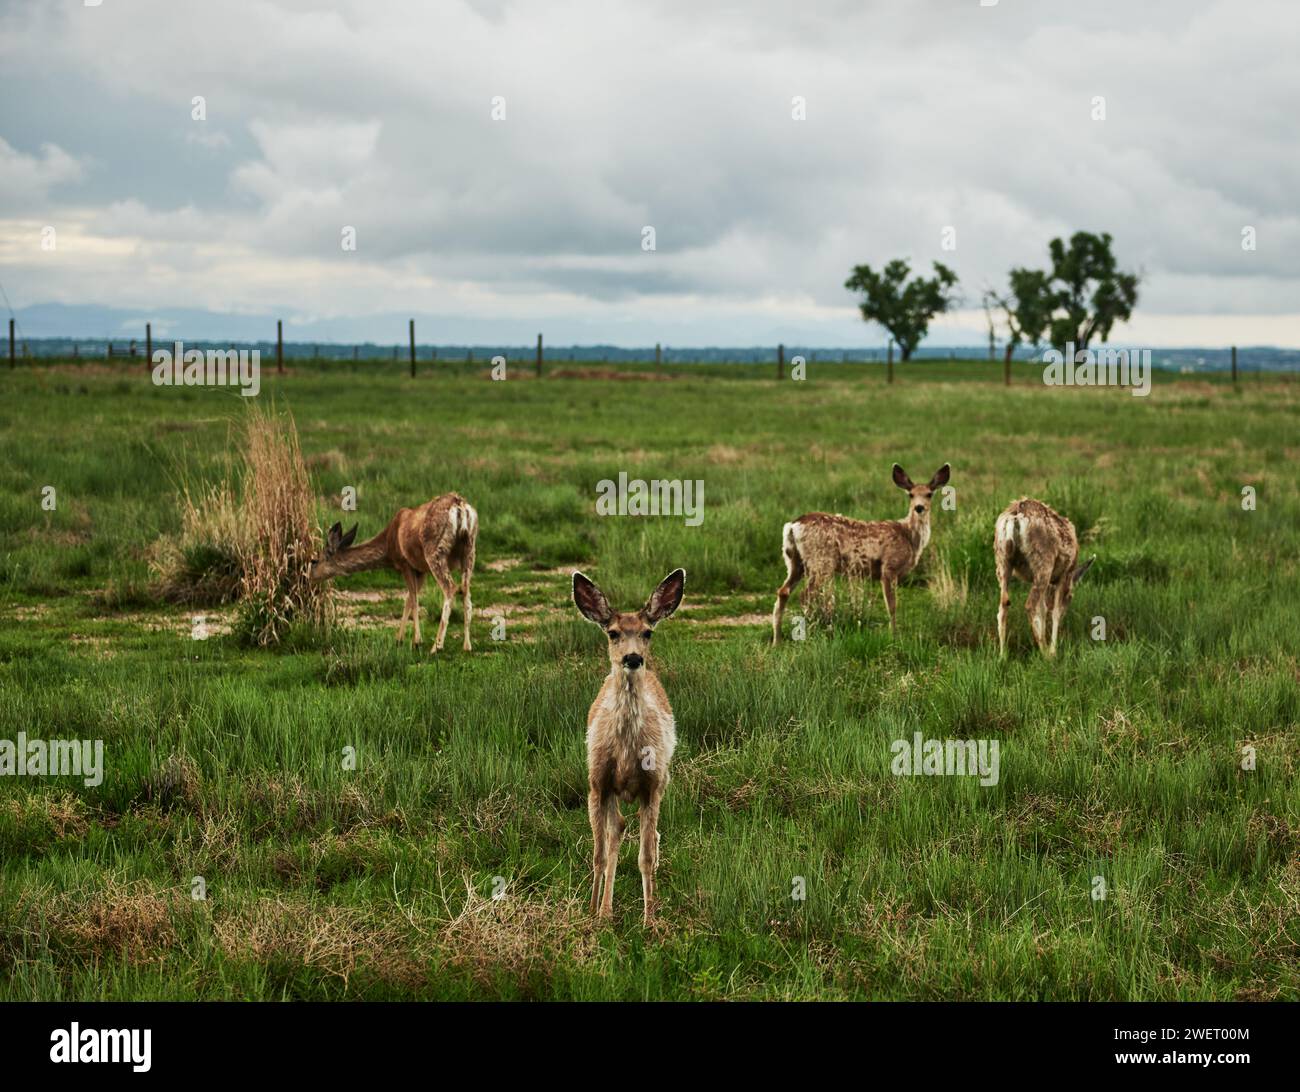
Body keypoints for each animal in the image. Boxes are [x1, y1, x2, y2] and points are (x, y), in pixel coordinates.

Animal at [308, 493, 478, 653]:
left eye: (313, 560)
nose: (309, 578)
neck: (389, 546)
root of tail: (459, 505)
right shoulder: (420, 569)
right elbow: (408, 600)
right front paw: (399, 640)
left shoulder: (405, 563)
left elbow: (413, 599)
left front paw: (416, 641)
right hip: (469, 549)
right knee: (466, 590)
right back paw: (467, 646)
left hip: (434, 551)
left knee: (451, 588)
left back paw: (436, 647)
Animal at [572, 568, 685, 925]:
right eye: (613, 633)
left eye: (647, 632)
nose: (632, 658)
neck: (625, 753)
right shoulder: (597, 783)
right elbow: (599, 854)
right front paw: (595, 911)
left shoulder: (653, 785)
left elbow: (644, 856)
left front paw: (649, 920)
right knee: (616, 832)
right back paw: (605, 908)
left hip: (662, 780)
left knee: (648, 836)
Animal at [772, 463, 950, 643]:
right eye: (911, 494)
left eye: (929, 494)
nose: (919, 507)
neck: (909, 536)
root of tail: (793, 525)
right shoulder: (889, 567)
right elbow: (892, 605)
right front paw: (893, 636)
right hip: (821, 560)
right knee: (805, 595)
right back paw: (811, 632)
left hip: (795, 561)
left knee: (783, 591)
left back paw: (777, 642)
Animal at [994, 497, 1094, 658]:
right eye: (1070, 596)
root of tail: (1015, 517)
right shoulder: (1064, 574)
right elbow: (1054, 611)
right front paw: (1053, 650)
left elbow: (1043, 608)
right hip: (1044, 561)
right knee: (1030, 604)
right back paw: (1045, 653)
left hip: (1002, 559)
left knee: (1003, 605)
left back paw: (1003, 655)